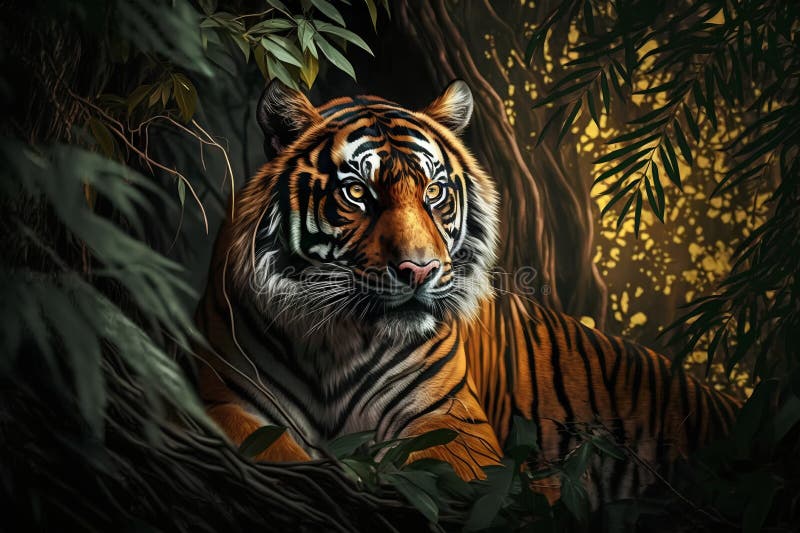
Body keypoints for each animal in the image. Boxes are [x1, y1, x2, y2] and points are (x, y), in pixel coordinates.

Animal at [195, 79, 740, 505]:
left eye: (433, 192)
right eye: (357, 193)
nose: (419, 269)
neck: (336, 342)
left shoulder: (452, 421)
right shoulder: (228, 402)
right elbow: (279, 455)